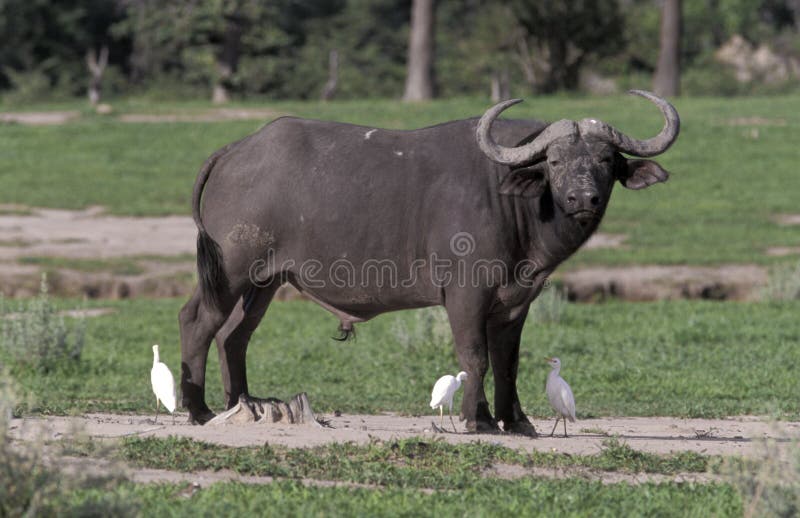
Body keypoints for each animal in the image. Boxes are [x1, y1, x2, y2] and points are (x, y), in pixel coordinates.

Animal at [180, 90, 679, 434]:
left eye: (605, 159)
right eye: (555, 161)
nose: (582, 198)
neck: (512, 203)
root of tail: (236, 149)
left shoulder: (517, 301)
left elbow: (509, 360)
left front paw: (517, 421)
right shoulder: (465, 294)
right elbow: (475, 356)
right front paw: (479, 419)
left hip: (263, 282)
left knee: (234, 336)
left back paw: (242, 402)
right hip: (230, 269)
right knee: (197, 320)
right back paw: (198, 409)